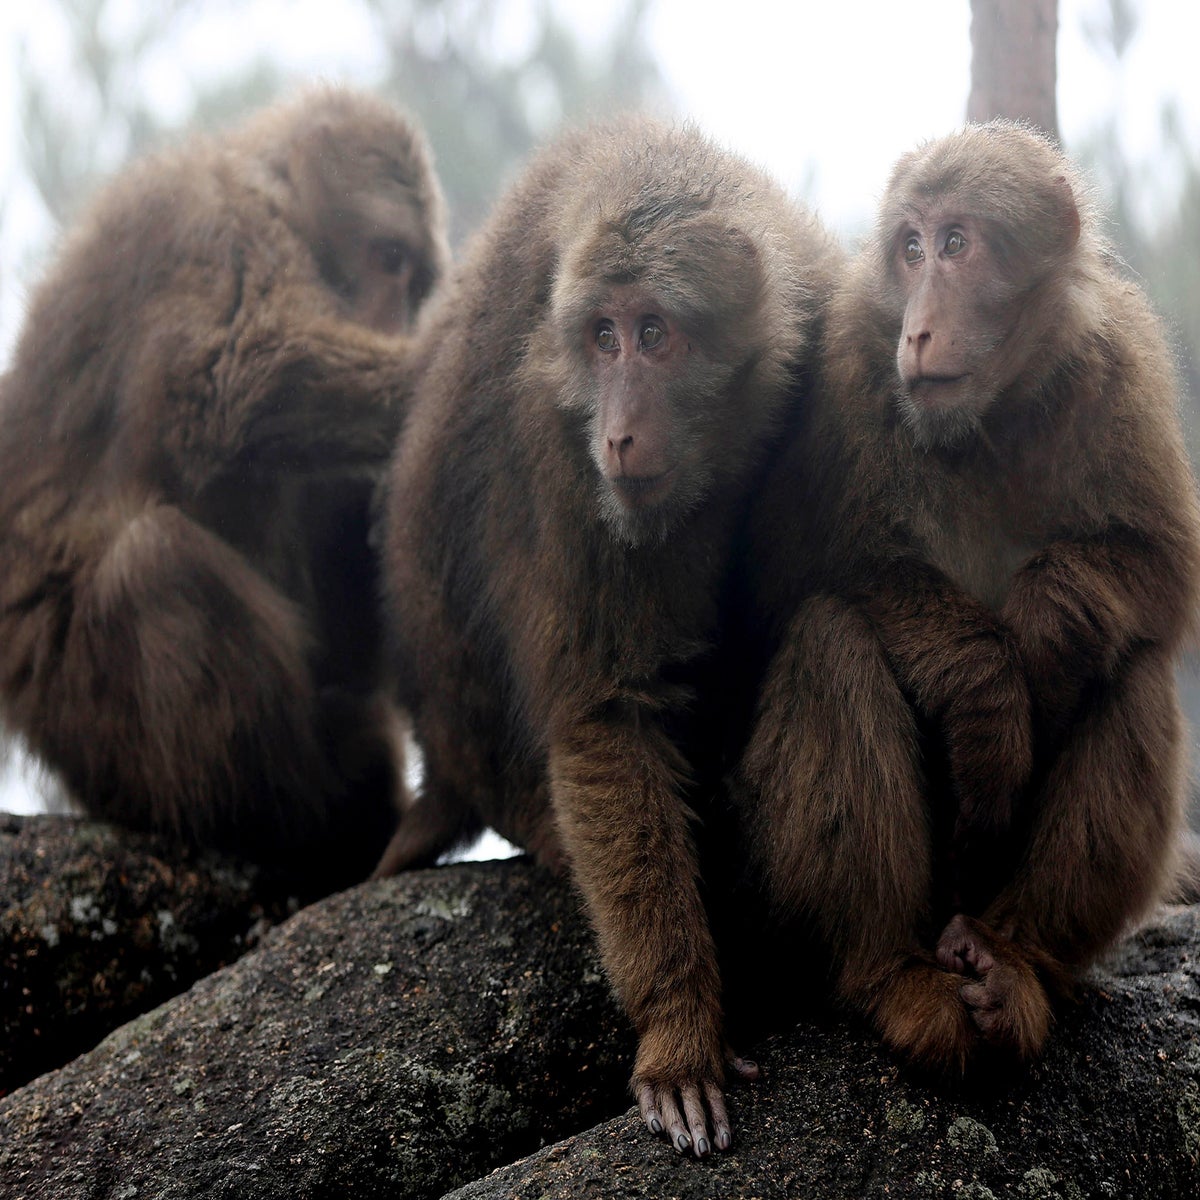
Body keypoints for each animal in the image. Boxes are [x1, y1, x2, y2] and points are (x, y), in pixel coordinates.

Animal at [0, 86, 449, 891]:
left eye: (417, 279)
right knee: (155, 563)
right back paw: (296, 819)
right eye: (389, 258)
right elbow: (218, 381)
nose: (401, 318)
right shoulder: (206, 223)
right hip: (85, 725)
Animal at [373, 118, 842, 1156]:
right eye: (603, 338)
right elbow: (606, 719)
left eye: (654, 335)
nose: (621, 432)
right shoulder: (561, 453)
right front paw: (679, 1029)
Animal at [730, 120, 1200, 1076]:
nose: (918, 329)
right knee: (830, 638)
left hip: (983, 886)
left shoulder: (1120, 372)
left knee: (1136, 669)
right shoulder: (847, 371)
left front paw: (1045, 629)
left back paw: (1011, 957)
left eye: (955, 243)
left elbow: (1162, 569)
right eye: (909, 248)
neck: (987, 421)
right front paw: (988, 696)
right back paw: (891, 975)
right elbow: (791, 578)